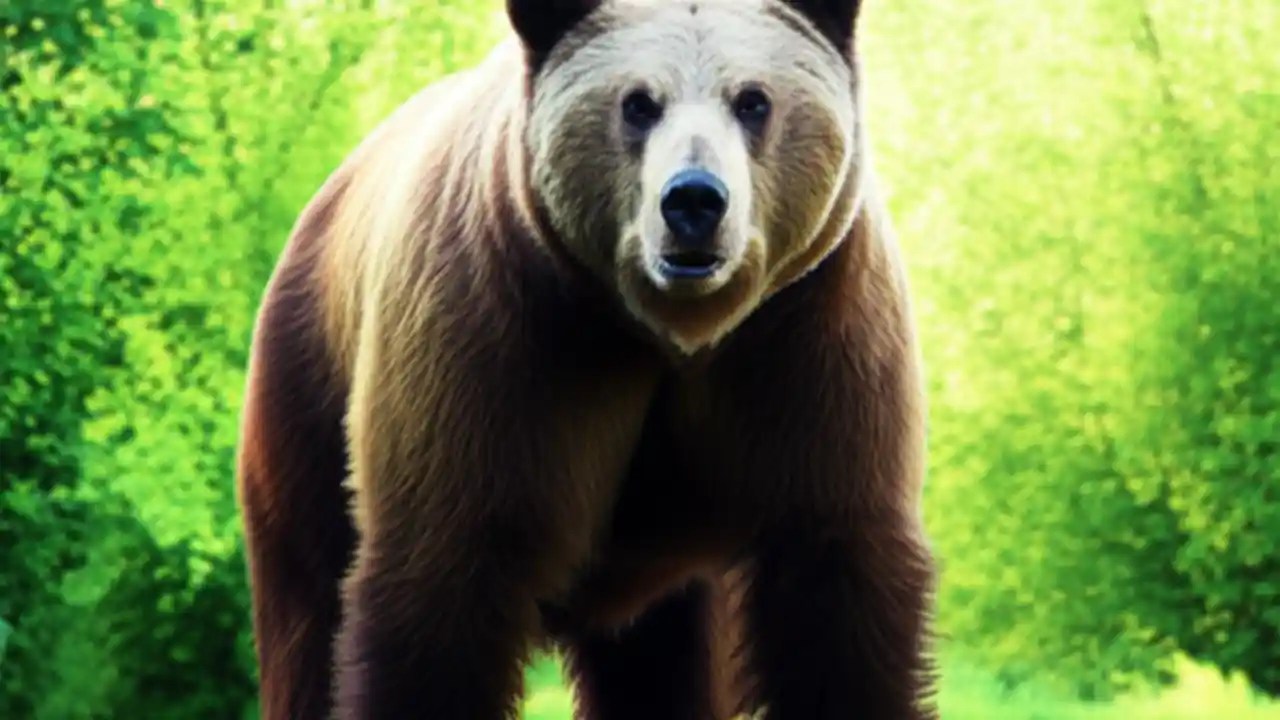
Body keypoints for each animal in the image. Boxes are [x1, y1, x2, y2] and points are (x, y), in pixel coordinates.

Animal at [234, 0, 936, 718]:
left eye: (752, 100)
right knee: (308, 601)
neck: (672, 332)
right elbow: (441, 584)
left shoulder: (812, 337)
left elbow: (836, 586)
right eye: (638, 103)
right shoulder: (499, 341)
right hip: (307, 400)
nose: (694, 200)